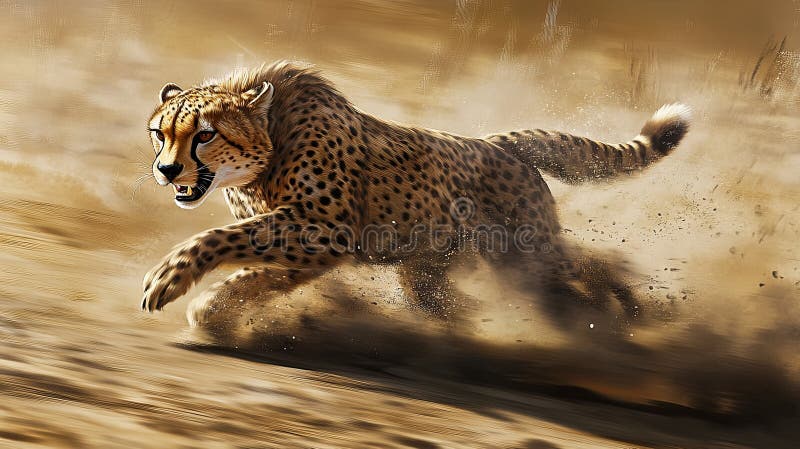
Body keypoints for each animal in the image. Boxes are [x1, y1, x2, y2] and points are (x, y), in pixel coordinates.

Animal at [141, 60, 690, 328]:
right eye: (158, 133)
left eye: (205, 135)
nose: (167, 170)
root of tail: (497, 142)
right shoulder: (315, 247)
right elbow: (260, 274)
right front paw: (215, 308)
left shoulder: (322, 230)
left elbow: (219, 238)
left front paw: (170, 281)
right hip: (432, 266)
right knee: (442, 298)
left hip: (525, 256)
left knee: (585, 266)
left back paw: (630, 308)